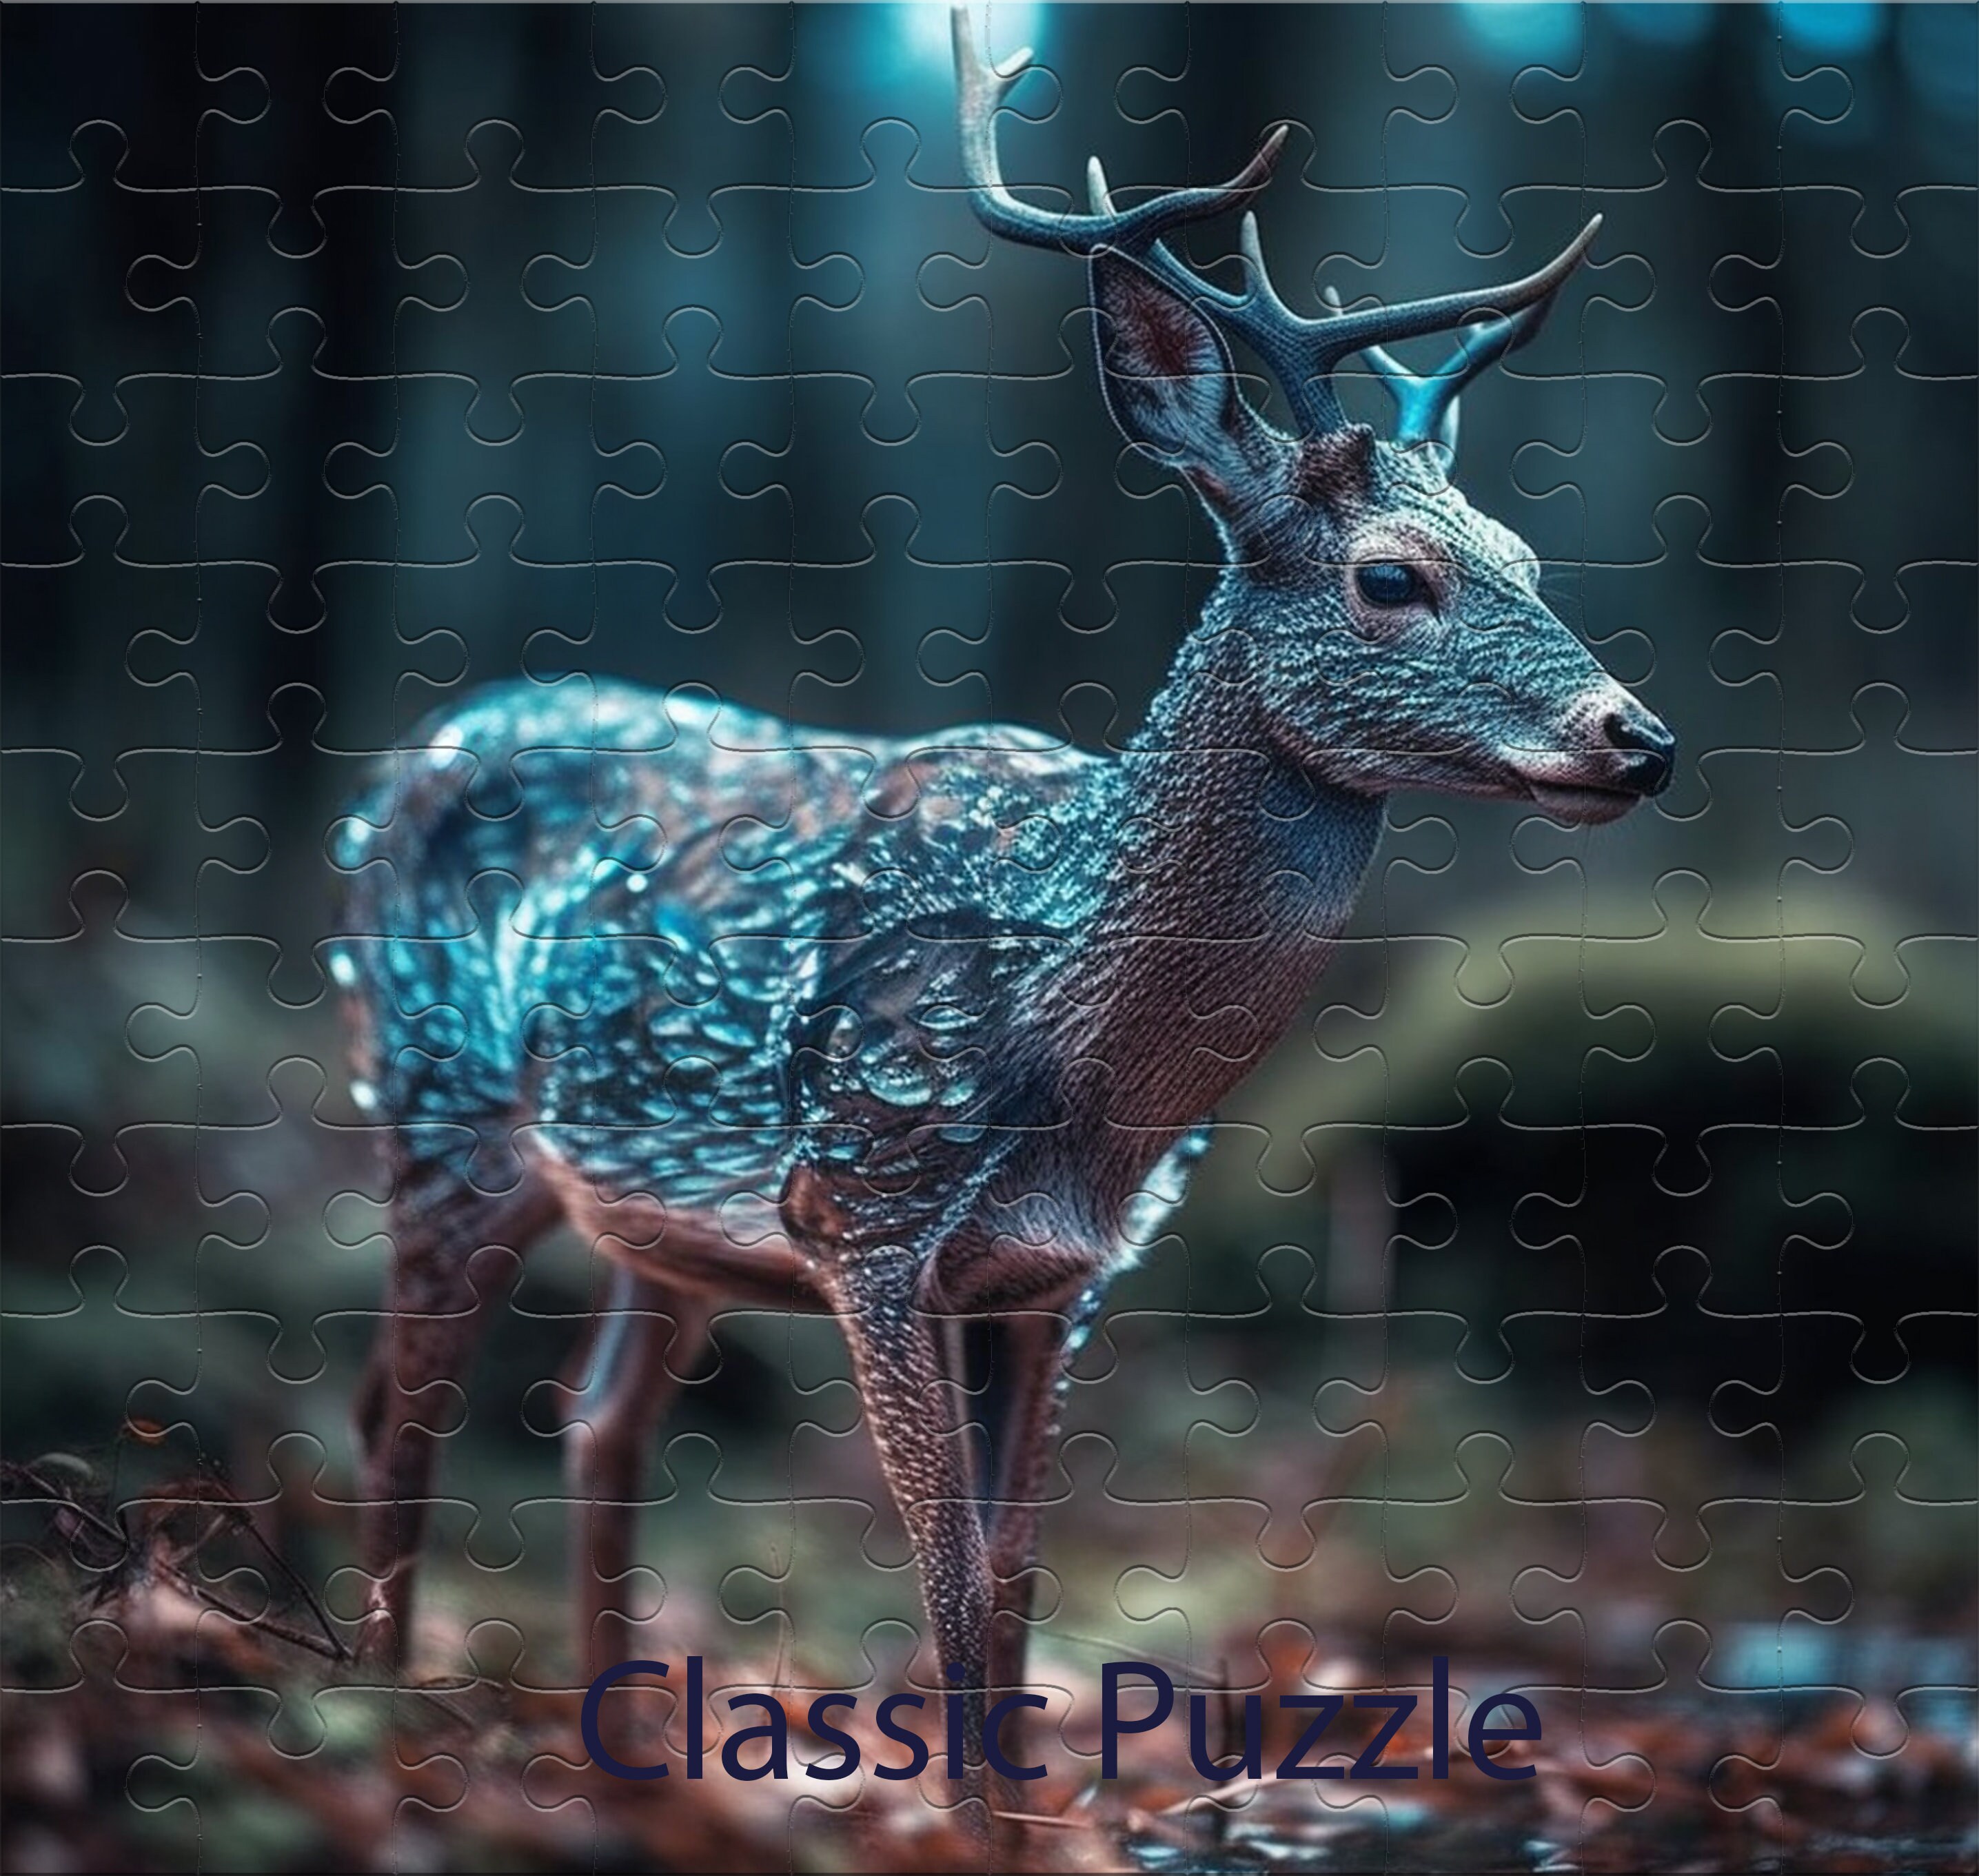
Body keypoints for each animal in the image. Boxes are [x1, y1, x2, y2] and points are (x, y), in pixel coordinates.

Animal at [333, 4, 1673, 1823]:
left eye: (1526, 553)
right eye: (1392, 575)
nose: (1635, 736)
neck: (1074, 1051)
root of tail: (420, 745)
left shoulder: (1057, 1275)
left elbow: (1021, 1580)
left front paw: (1016, 1821)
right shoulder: (864, 1210)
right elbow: (951, 1577)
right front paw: (970, 1833)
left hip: (659, 1217)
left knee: (593, 1413)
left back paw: (628, 1777)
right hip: (436, 1104)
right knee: (395, 1413)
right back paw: (378, 1724)